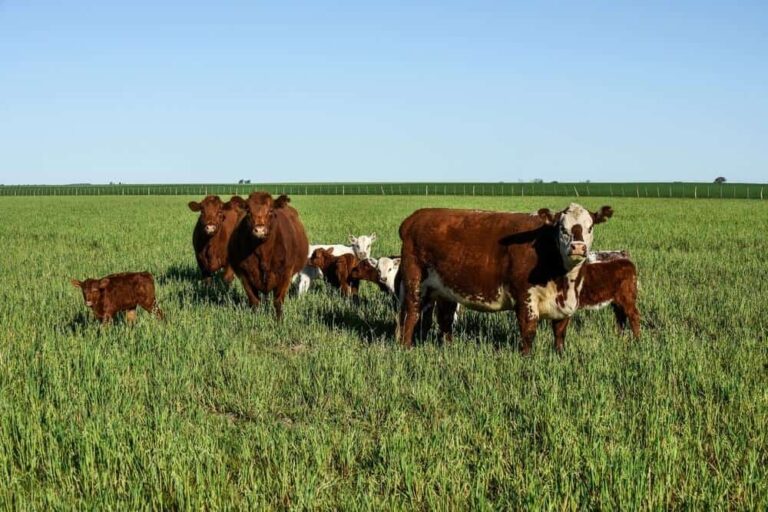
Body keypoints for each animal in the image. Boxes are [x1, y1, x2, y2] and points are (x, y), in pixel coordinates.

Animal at [397, 202, 613, 353]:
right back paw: (407, 348)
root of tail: (416, 217)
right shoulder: (525, 297)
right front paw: (527, 358)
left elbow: (560, 334)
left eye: (590, 227)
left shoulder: (565, 306)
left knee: (445, 318)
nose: (578, 247)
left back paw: (449, 348)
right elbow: (528, 332)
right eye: (562, 228)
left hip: (445, 289)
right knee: (412, 314)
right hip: (414, 281)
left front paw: (560, 356)